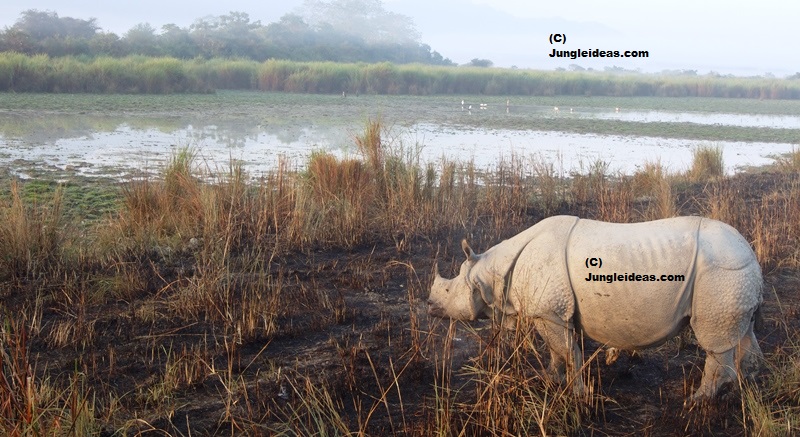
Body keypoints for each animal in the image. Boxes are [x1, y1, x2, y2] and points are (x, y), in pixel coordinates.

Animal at [428, 215, 763, 401]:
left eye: (448, 290)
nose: (430, 307)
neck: (491, 271)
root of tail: (752, 254)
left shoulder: (549, 312)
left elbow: (568, 352)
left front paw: (578, 394)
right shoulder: (553, 313)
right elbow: (559, 351)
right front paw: (551, 378)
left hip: (721, 274)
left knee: (715, 342)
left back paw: (698, 401)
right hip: (734, 276)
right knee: (742, 335)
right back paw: (741, 388)